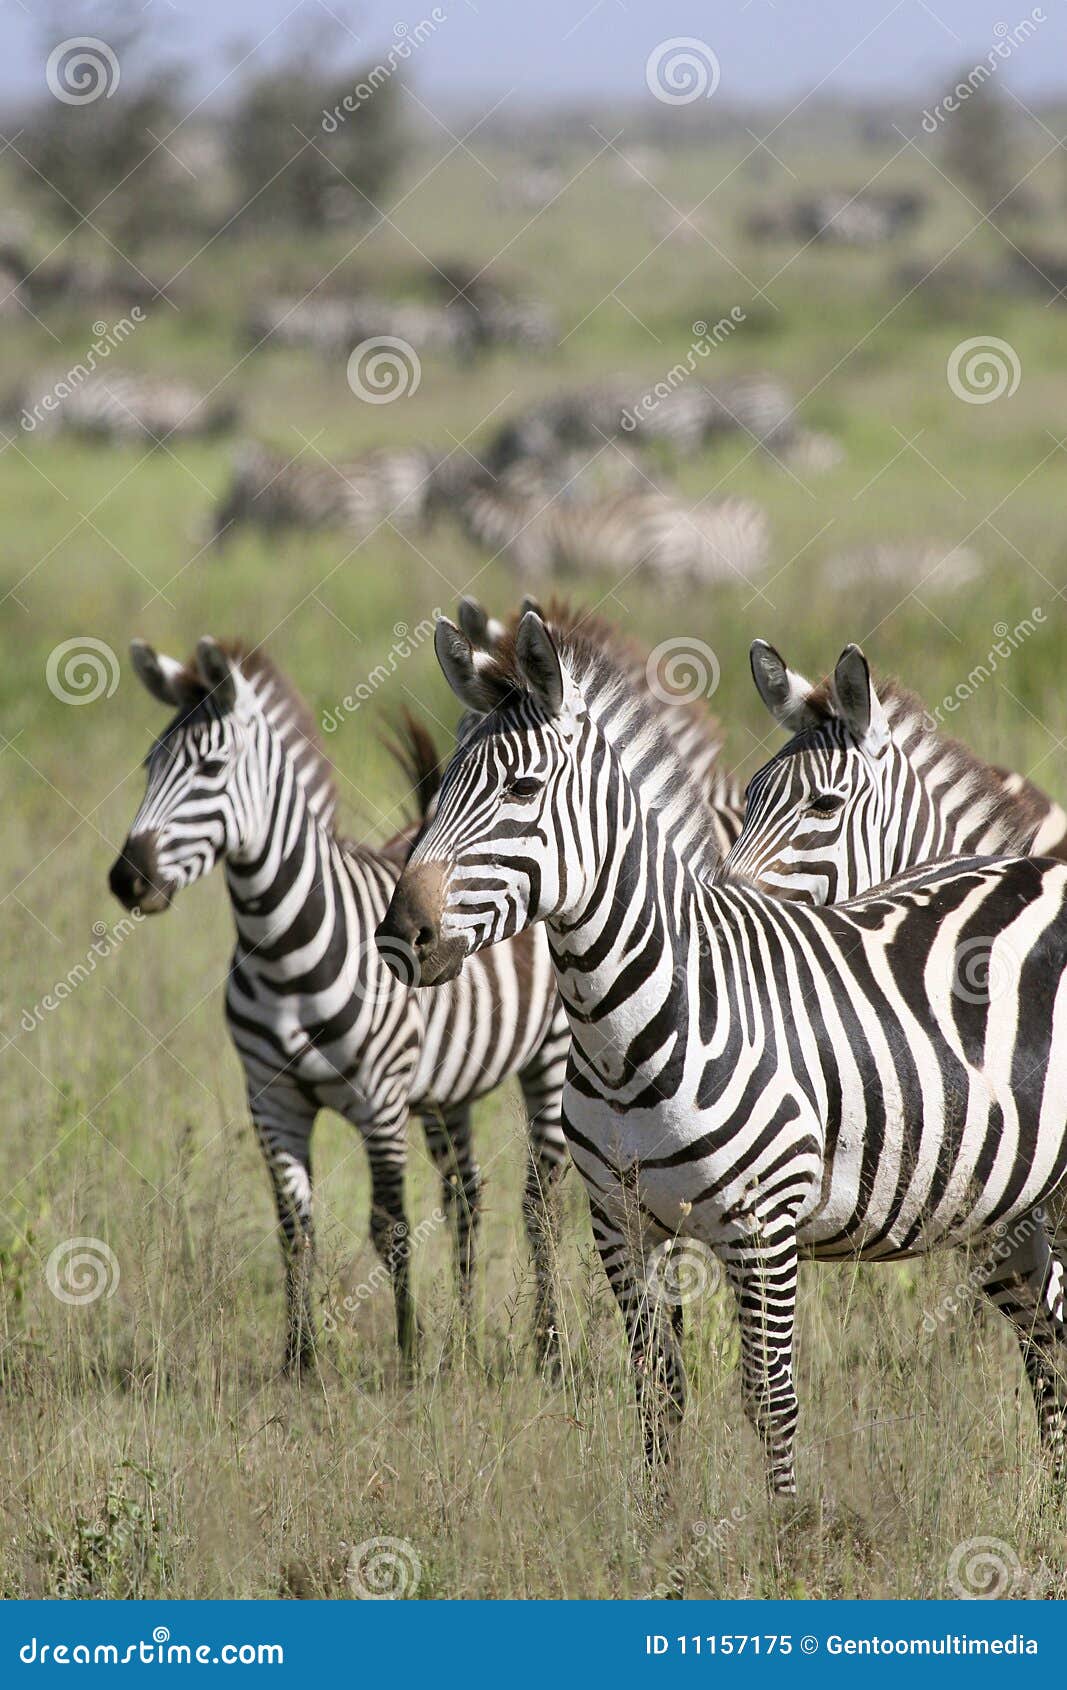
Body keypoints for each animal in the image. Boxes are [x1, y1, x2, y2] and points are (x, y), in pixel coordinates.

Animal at [109, 637, 571, 1374]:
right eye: (149, 765)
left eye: (209, 768)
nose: (128, 879)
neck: (281, 950)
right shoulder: (272, 1103)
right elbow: (294, 1229)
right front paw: (299, 1360)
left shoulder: (380, 1100)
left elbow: (391, 1228)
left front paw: (409, 1356)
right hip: (445, 1090)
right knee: (466, 1197)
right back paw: (467, 1340)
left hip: (548, 1056)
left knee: (542, 1201)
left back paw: (548, 1349)